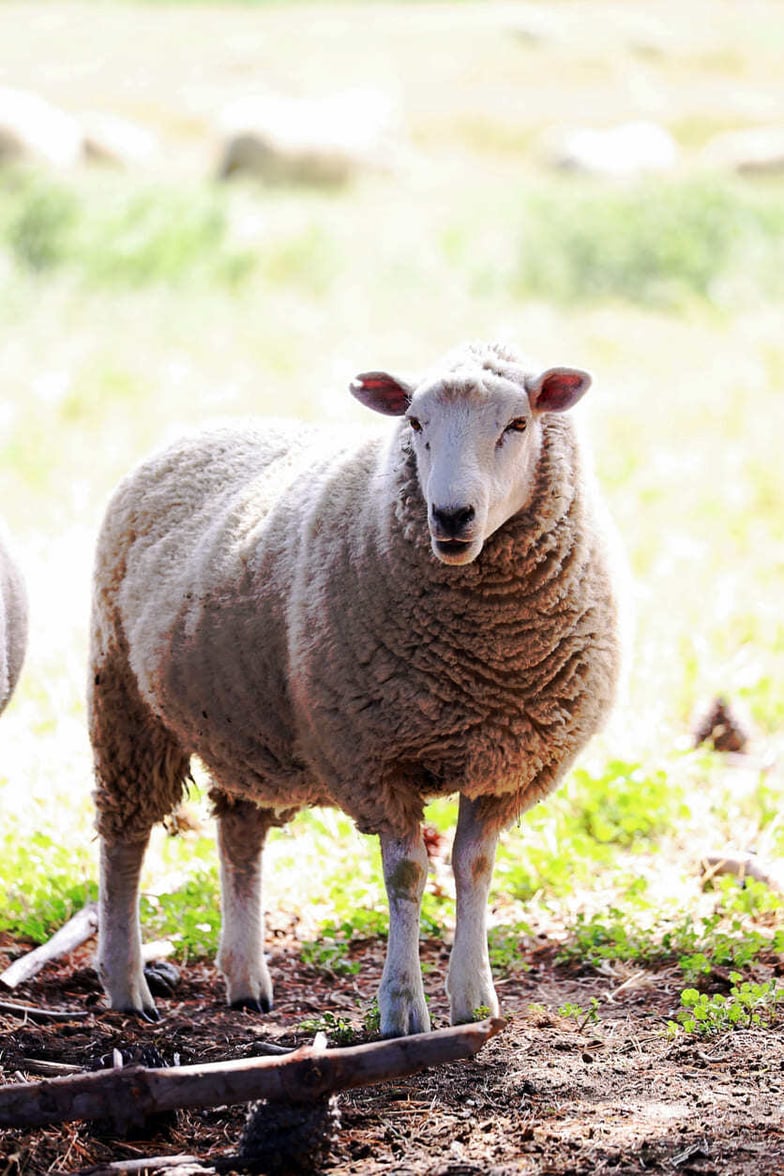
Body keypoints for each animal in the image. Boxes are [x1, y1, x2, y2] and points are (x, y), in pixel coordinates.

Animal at [91, 340, 623, 1037]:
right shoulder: (372, 759)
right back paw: (126, 984)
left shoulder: (504, 764)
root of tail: (201, 429)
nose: (451, 516)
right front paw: (402, 1008)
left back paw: (246, 979)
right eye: (416, 424)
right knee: (124, 841)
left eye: (517, 424)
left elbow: (473, 866)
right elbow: (407, 874)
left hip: (245, 724)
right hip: (124, 698)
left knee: (240, 837)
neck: (487, 663)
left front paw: (474, 1000)